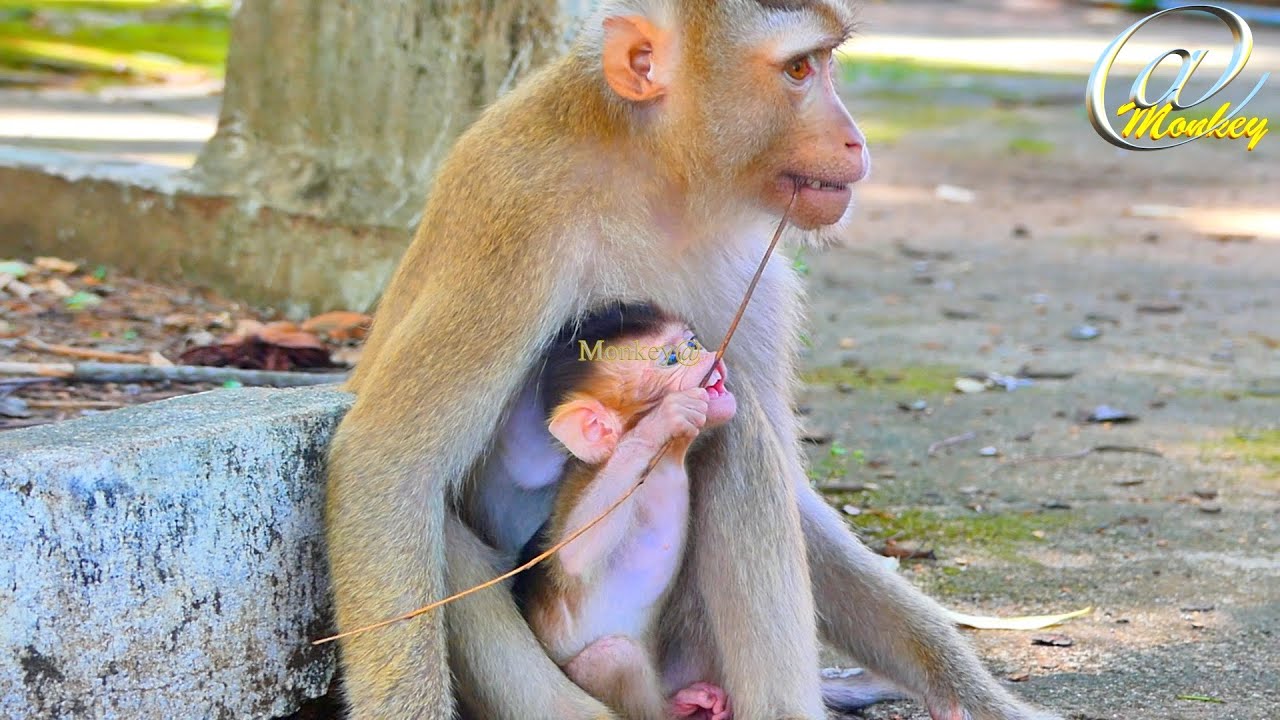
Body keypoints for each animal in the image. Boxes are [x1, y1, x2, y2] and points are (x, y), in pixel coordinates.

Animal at [513, 302, 735, 720]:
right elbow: (573, 555)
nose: (711, 357)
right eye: (671, 359)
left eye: (693, 343)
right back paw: (676, 708)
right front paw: (657, 425)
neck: (667, 465)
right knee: (612, 658)